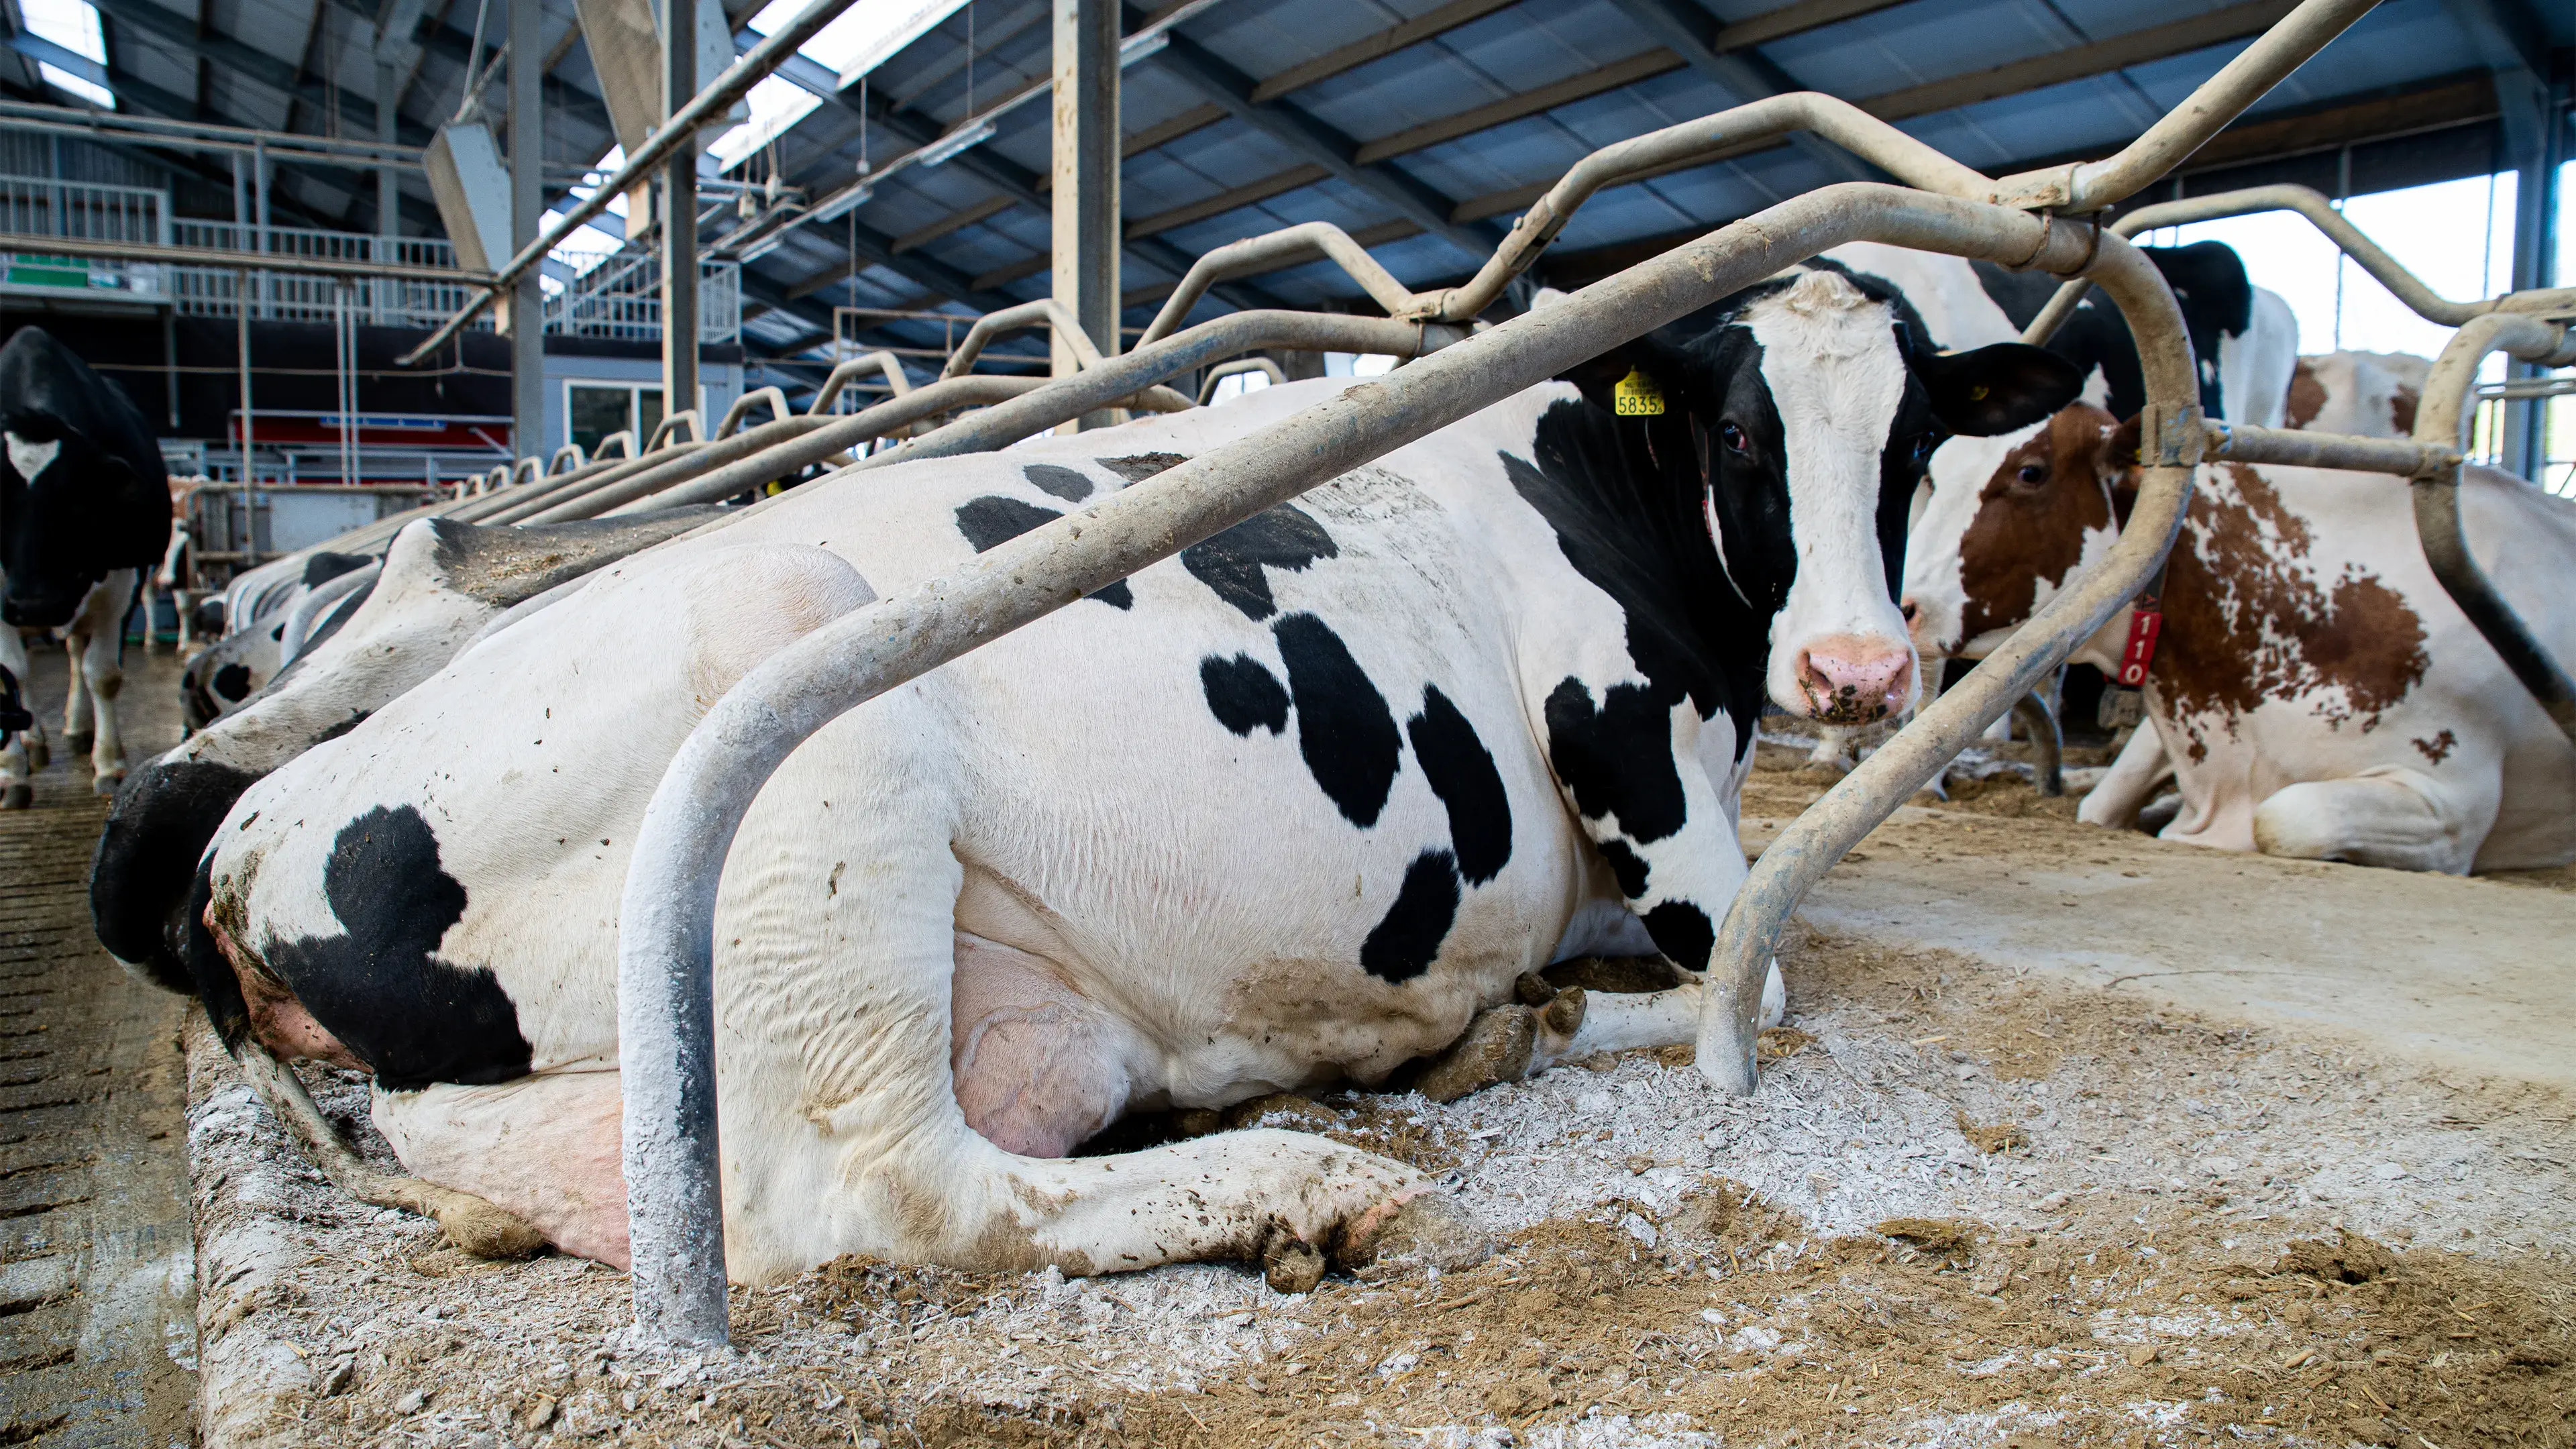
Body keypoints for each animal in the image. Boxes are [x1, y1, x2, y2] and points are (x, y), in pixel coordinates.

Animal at [0, 327, 172, 800]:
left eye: (76, 503)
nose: (36, 605)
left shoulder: (124, 576)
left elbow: (103, 674)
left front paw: (110, 765)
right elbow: (10, 671)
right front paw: (11, 773)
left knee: (76, 651)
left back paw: (76, 730)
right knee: (27, 674)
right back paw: (33, 741)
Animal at [173, 266, 2081, 1283]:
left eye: (1922, 434)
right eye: (1740, 431)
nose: (1857, 670)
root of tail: (252, 832)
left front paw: (1514, 1015)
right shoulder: (1640, 775)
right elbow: (1767, 974)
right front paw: (1533, 1024)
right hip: (804, 685)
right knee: (883, 1191)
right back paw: (1302, 1180)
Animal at [1899, 402, 2576, 874]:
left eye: (2030, 473)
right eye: (1936, 472)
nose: (1904, 607)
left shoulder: (2455, 803)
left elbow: (2287, 818)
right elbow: (2104, 806)